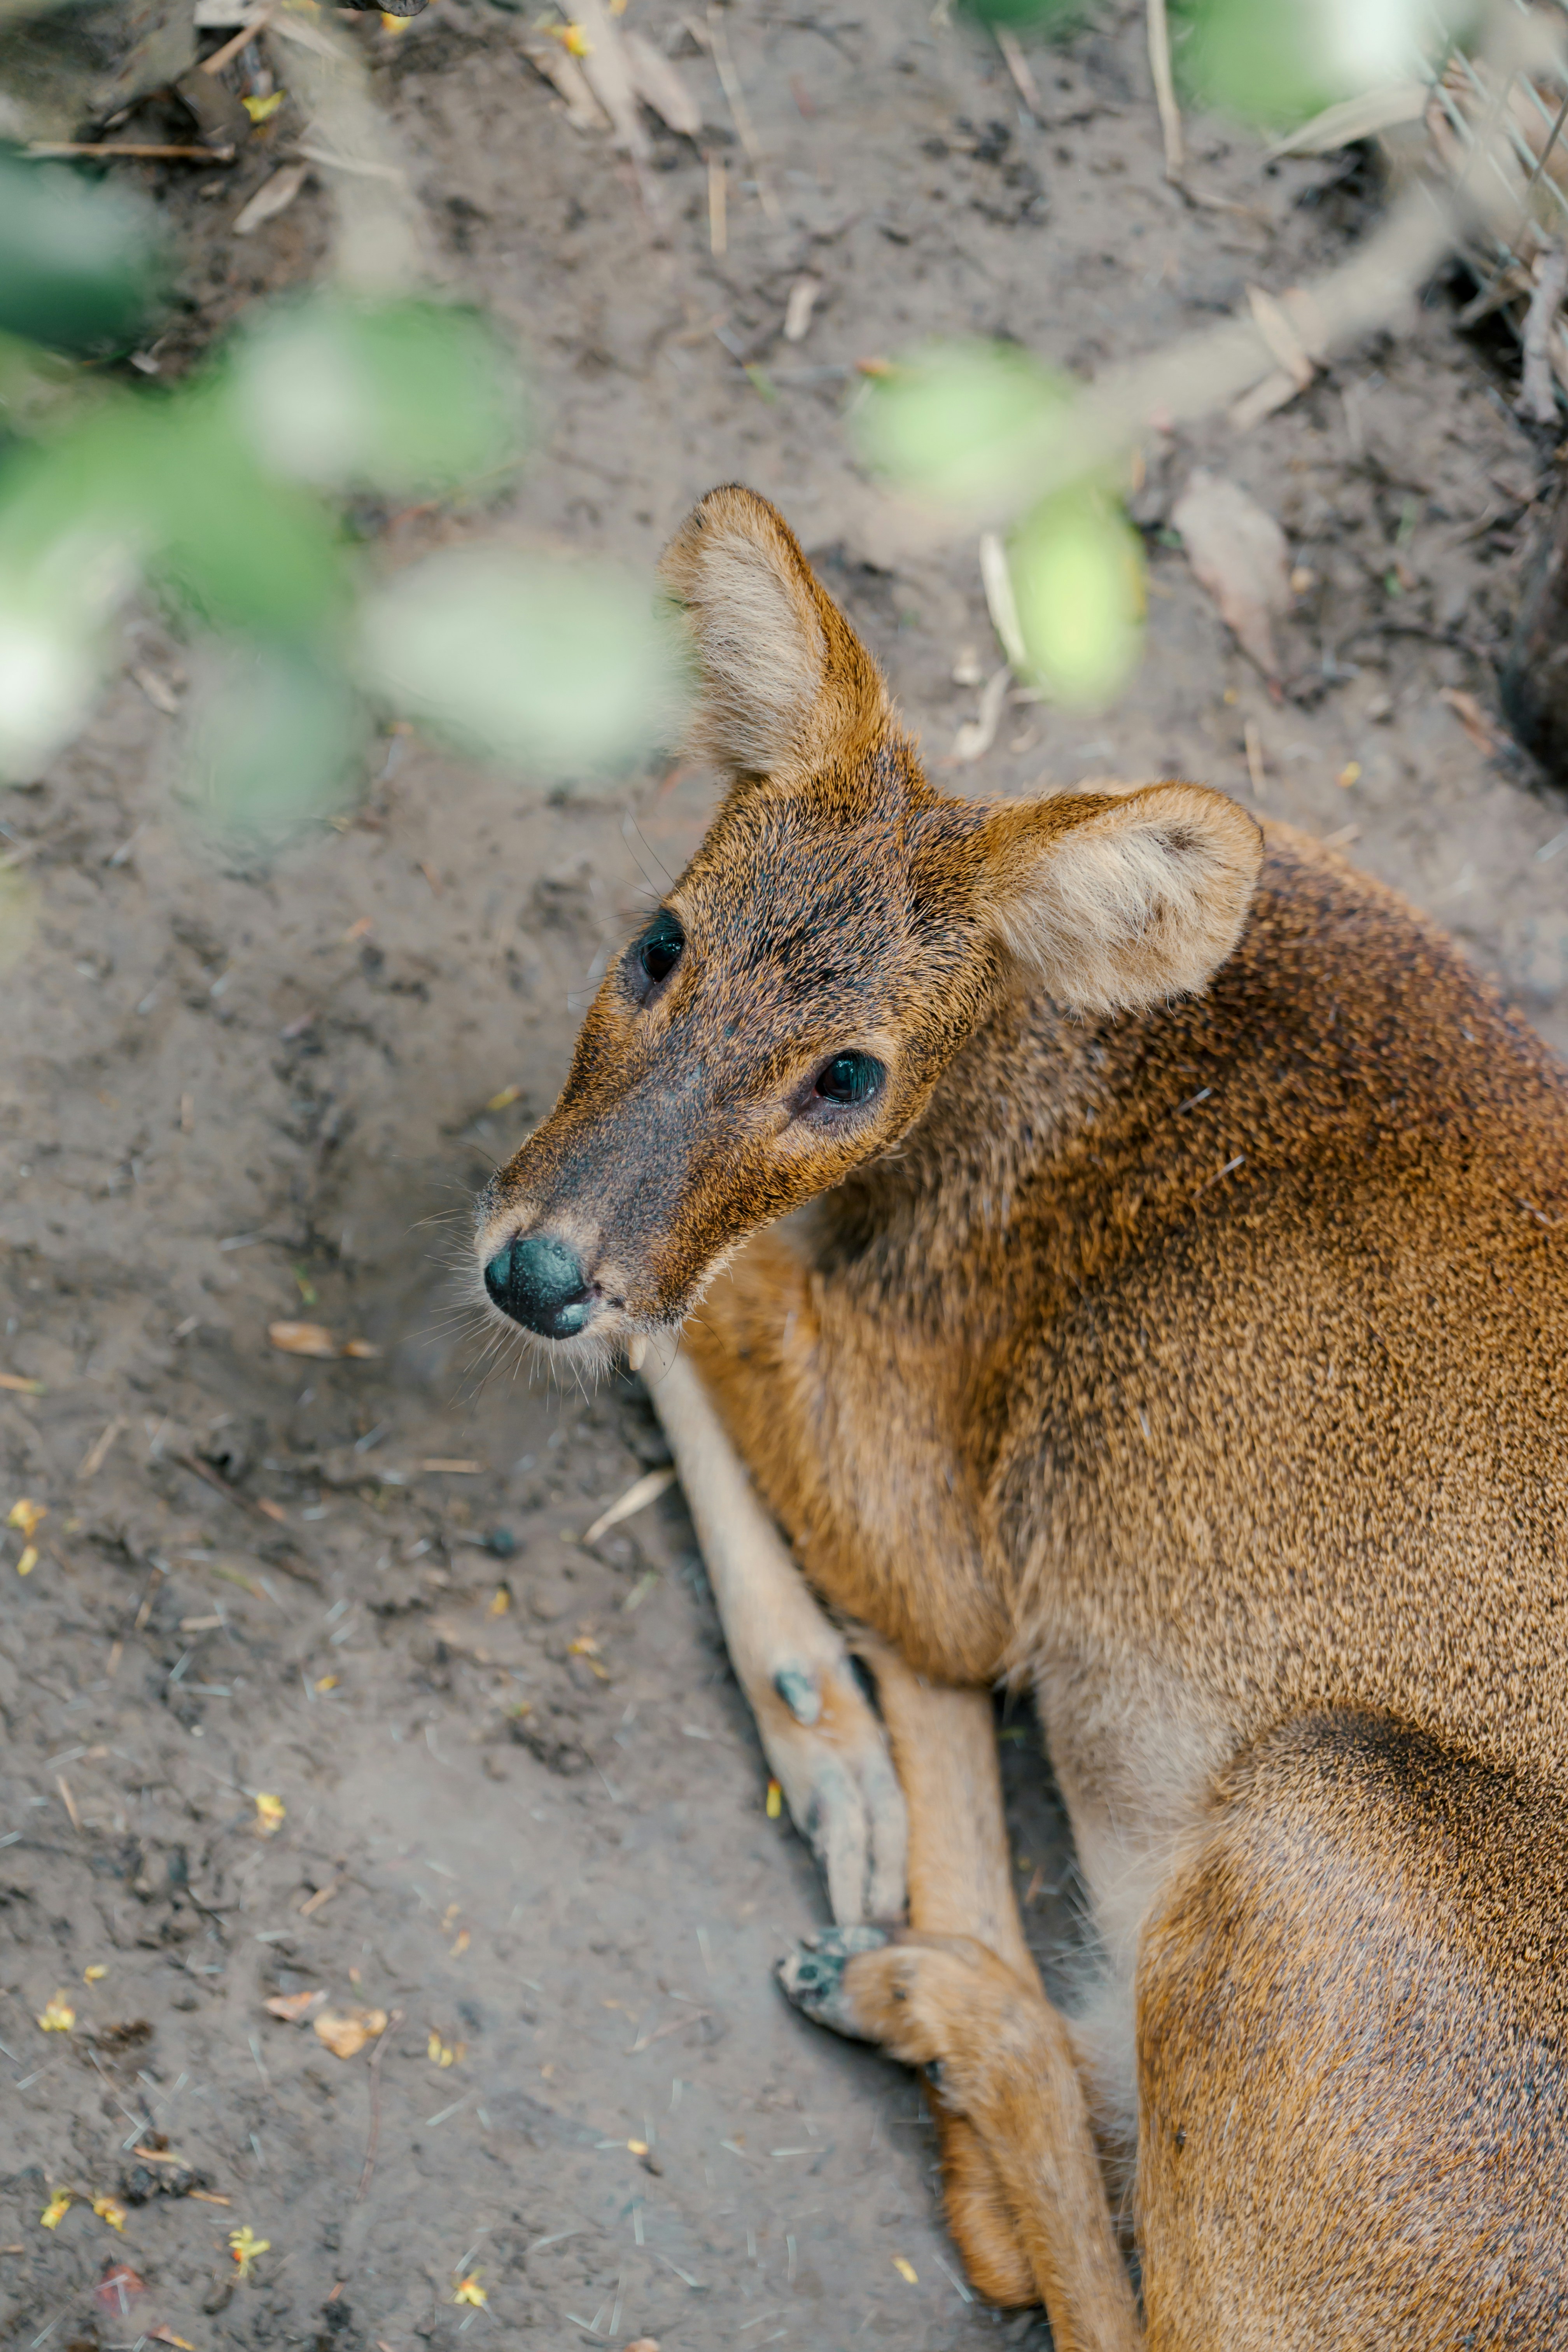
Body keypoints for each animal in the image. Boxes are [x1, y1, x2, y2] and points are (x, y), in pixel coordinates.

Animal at [474, 485, 1568, 2348]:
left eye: (849, 1073)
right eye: (659, 940)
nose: (538, 1269)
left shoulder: (966, 1508)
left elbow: (711, 1320)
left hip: (1322, 1802)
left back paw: (916, 1978)